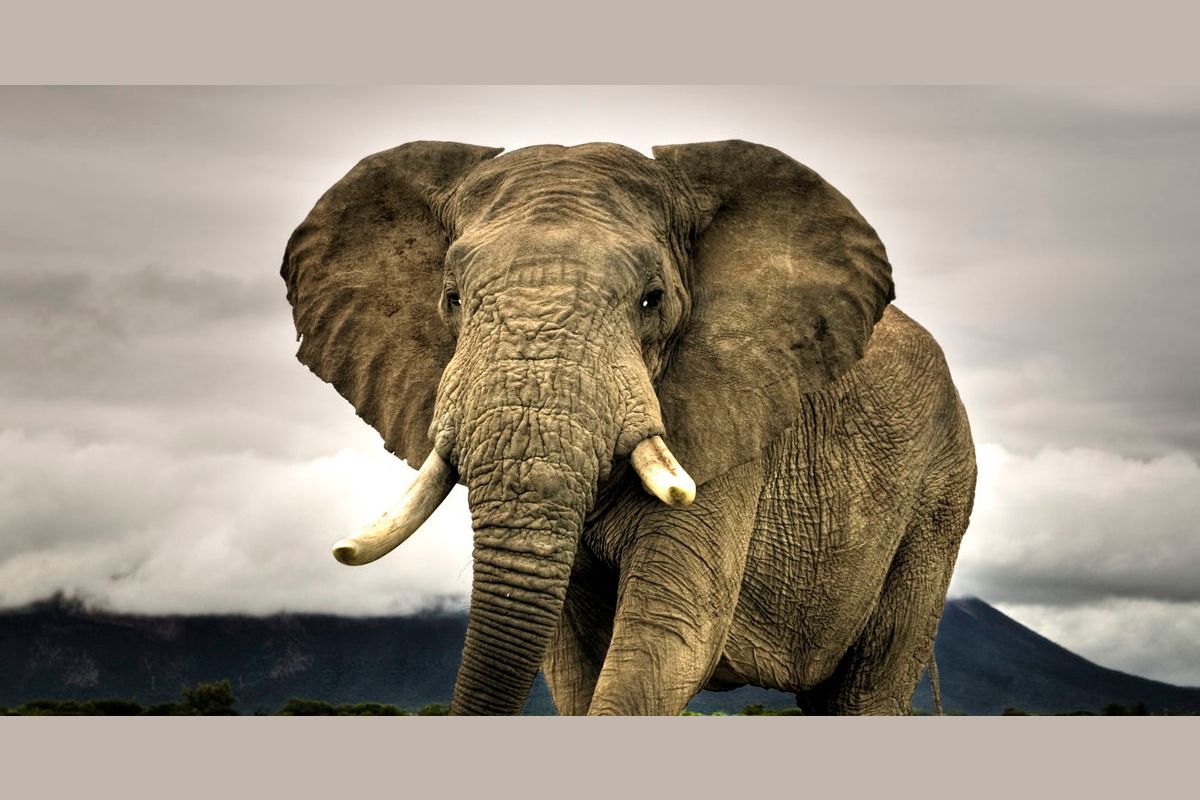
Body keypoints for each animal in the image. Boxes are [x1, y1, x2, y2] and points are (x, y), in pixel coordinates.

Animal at [280, 139, 977, 715]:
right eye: (451, 299)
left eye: (652, 300)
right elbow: (572, 660)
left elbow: (666, 638)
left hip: (939, 500)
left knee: (865, 691)